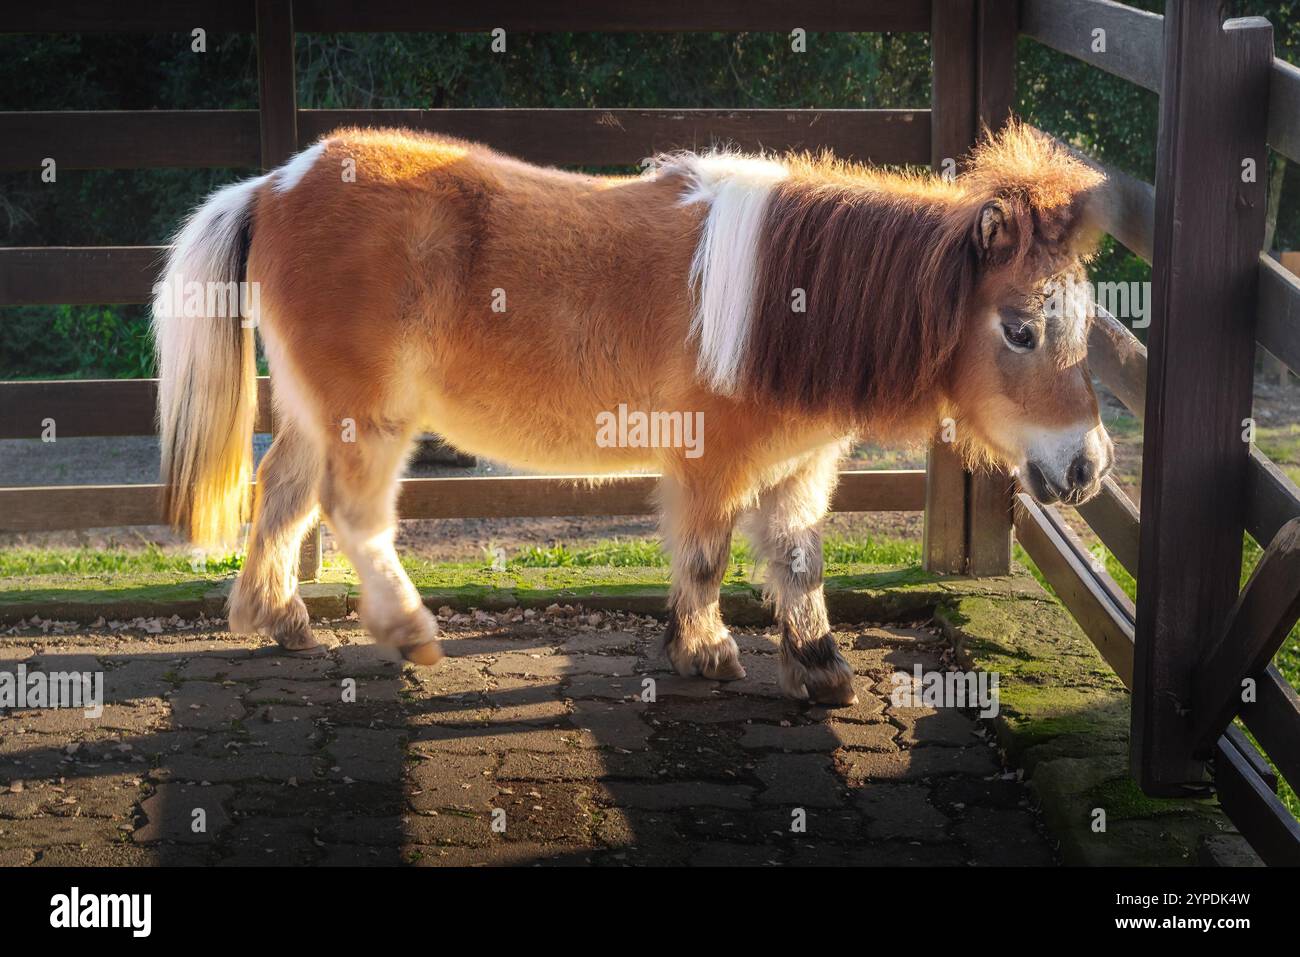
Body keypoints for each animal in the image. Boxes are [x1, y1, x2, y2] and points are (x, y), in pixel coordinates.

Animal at [152, 120, 1112, 705]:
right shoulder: (713, 463)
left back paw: (280, 619)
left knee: (282, 495)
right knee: (351, 514)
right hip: (368, 419)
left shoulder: (800, 467)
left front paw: (819, 663)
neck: (785, 299)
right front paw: (705, 650)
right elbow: (707, 556)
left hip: (316, 413)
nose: (1089, 466)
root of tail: (274, 183)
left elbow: (798, 560)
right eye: (1021, 329)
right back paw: (408, 631)